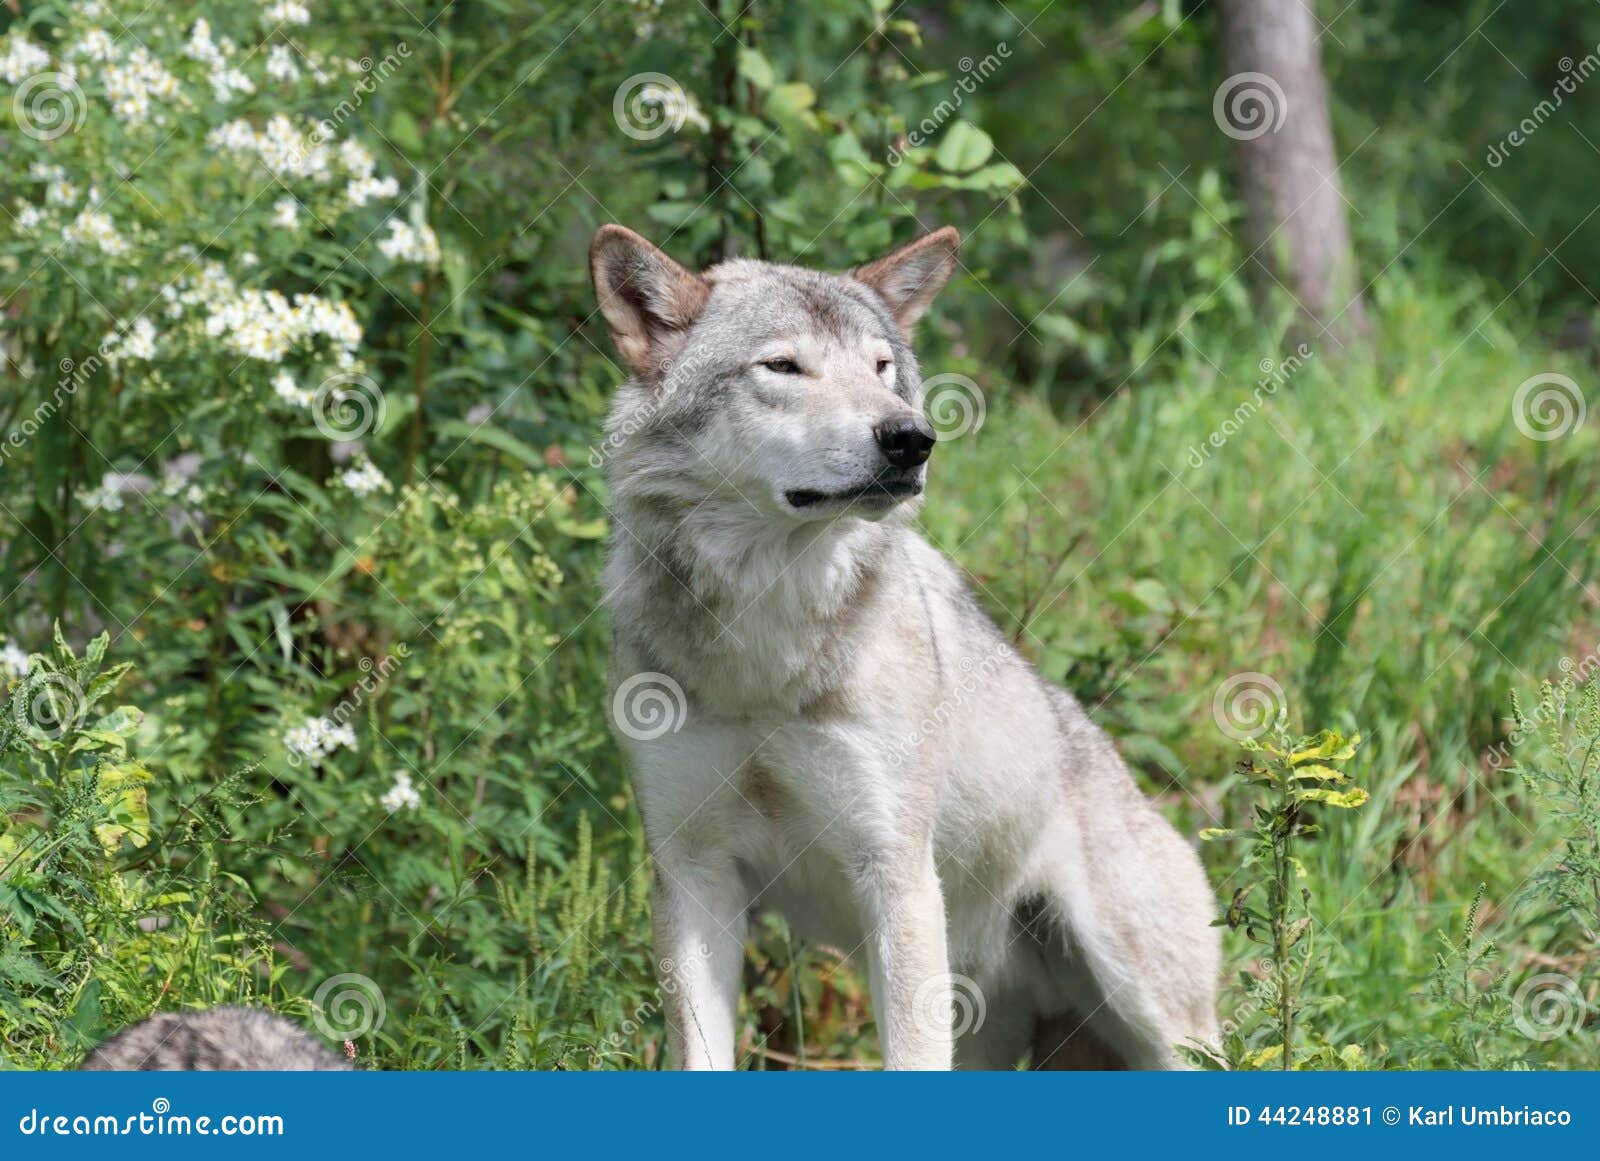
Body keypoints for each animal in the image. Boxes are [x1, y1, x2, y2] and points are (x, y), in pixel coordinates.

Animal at [591, 223, 1219, 1070]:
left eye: (882, 369)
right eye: (783, 366)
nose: (911, 438)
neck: (764, 647)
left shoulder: (897, 874)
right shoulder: (695, 876)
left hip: (1158, 1018)